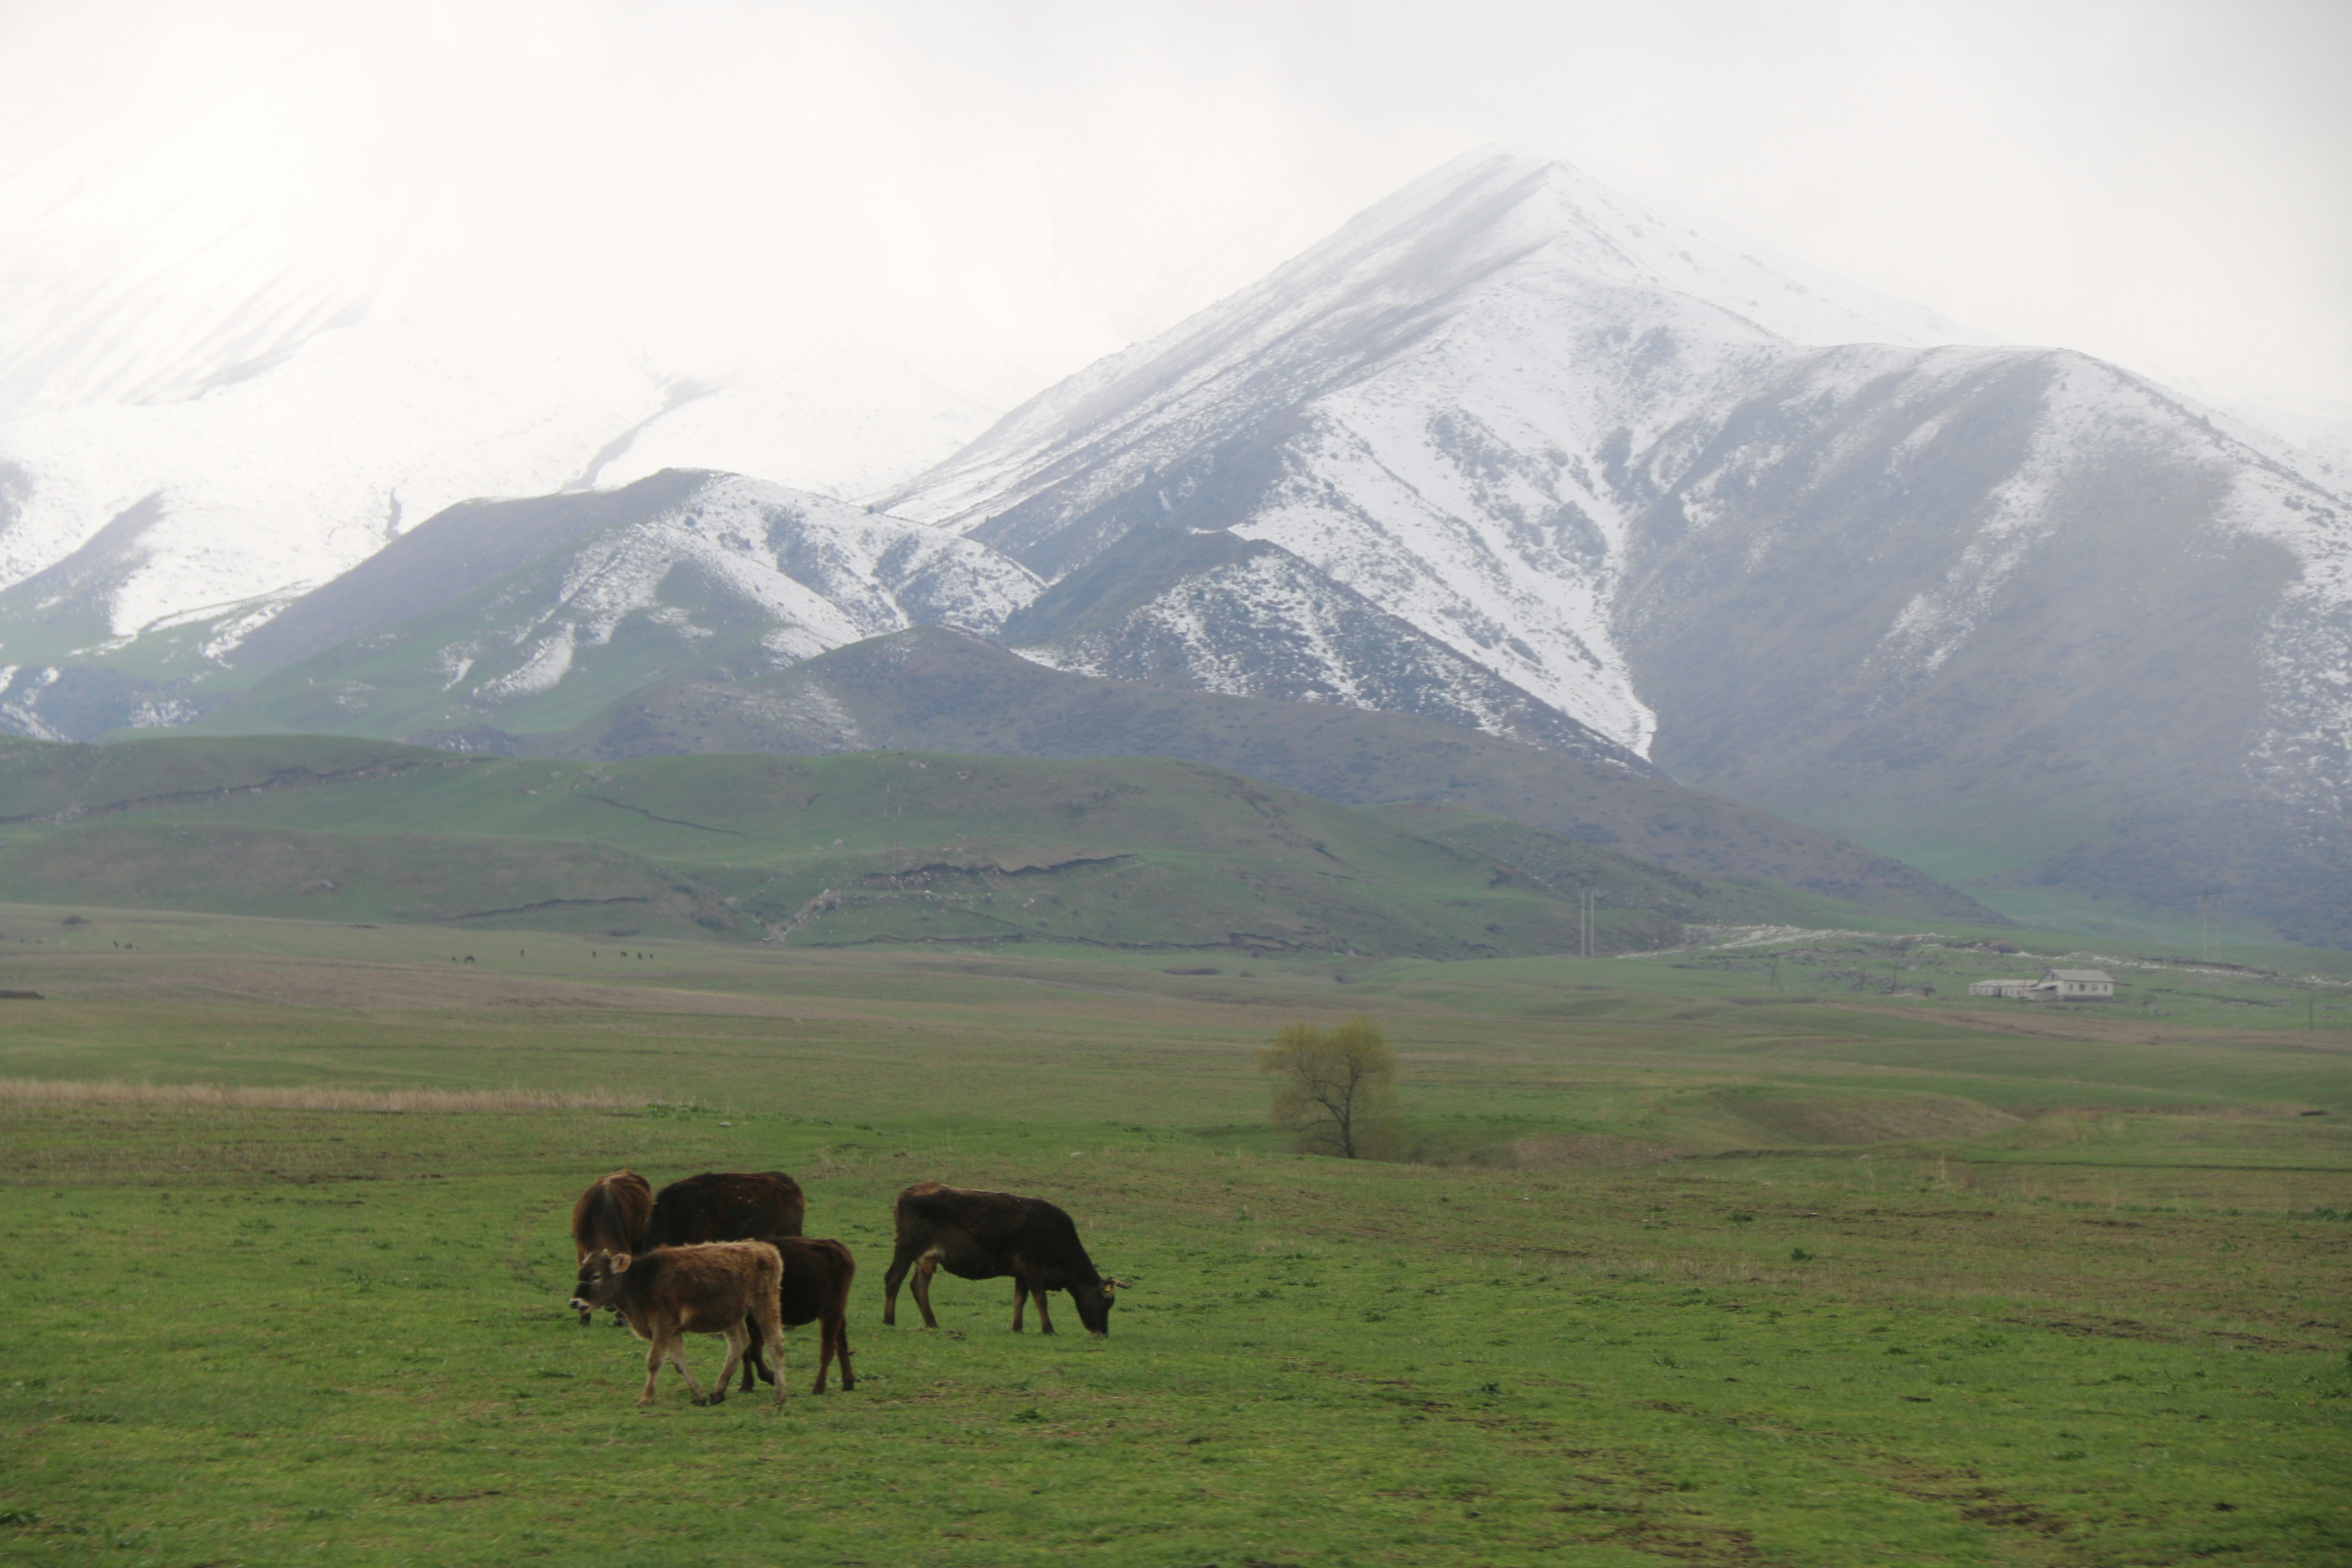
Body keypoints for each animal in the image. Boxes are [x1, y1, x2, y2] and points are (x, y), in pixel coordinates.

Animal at [569, 1242, 789, 1408]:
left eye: (596, 1276)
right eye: (581, 1274)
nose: (575, 1302)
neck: (642, 1281)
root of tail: (767, 1249)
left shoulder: (663, 1326)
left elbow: (655, 1360)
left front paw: (647, 1398)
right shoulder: (672, 1331)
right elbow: (679, 1362)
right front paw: (698, 1395)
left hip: (765, 1304)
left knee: (775, 1345)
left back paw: (780, 1395)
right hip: (732, 1316)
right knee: (739, 1345)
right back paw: (718, 1392)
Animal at [738, 1237, 858, 1394]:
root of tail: (838, 1248)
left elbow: (754, 1351)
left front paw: (771, 1377)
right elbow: (747, 1351)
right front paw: (746, 1385)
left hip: (833, 1310)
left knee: (829, 1347)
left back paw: (819, 1388)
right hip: (832, 1312)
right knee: (841, 1343)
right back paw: (848, 1383)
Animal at [881, 1181, 1121, 1336]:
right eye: (1107, 1302)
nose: (1103, 1332)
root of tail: (904, 1195)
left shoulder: (1021, 1272)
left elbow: (1020, 1299)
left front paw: (1017, 1328)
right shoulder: (1032, 1267)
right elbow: (1040, 1299)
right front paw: (1049, 1329)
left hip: (927, 1258)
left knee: (919, 1287)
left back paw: (932, 1324)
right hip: (907, 1248)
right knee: (893, 1279)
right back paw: (889, 1321)